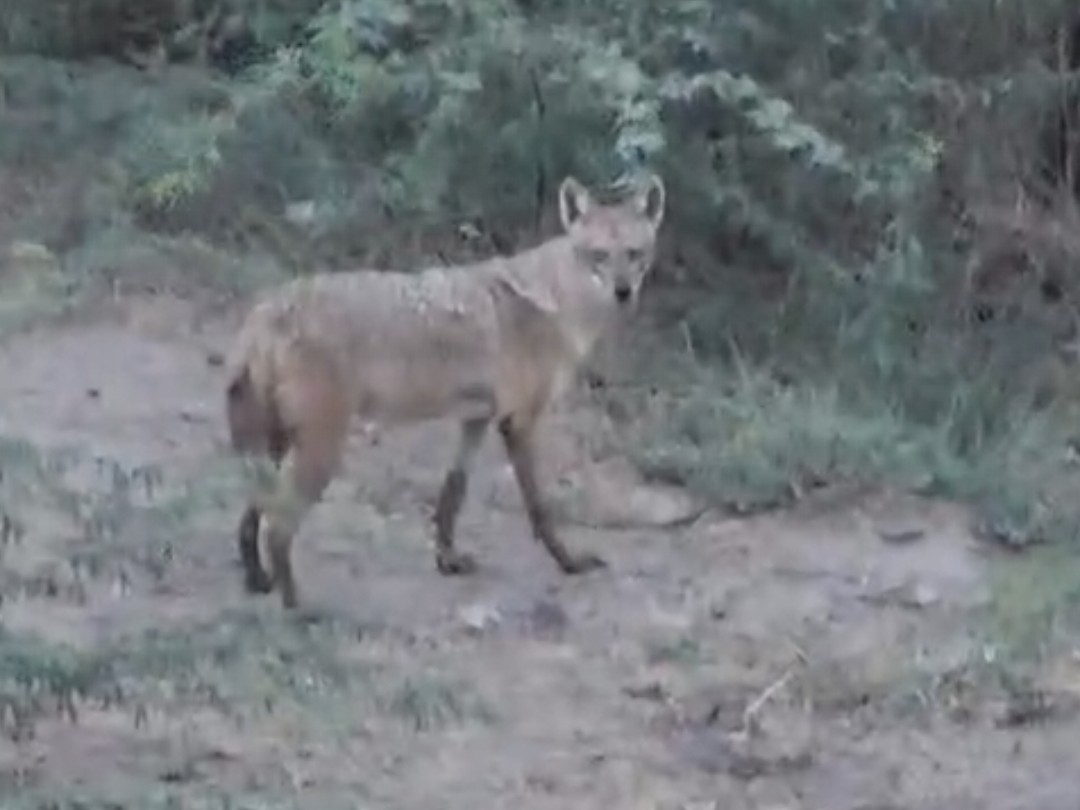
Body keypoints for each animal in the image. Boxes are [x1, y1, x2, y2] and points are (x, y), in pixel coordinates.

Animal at [223, 172, 666, 609]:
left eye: (634, 253)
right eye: (598, 256)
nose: (623, 292)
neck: (556, 301)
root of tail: (264, 312)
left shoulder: (477, 419)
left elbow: (452, 495)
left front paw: (447, 560)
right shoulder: (521, 422)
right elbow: (540, 508)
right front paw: (569, 563)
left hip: (277, 446)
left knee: (251, 517)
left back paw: (257, 580)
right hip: (318, 451)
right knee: (278, 528)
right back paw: (297, 608)